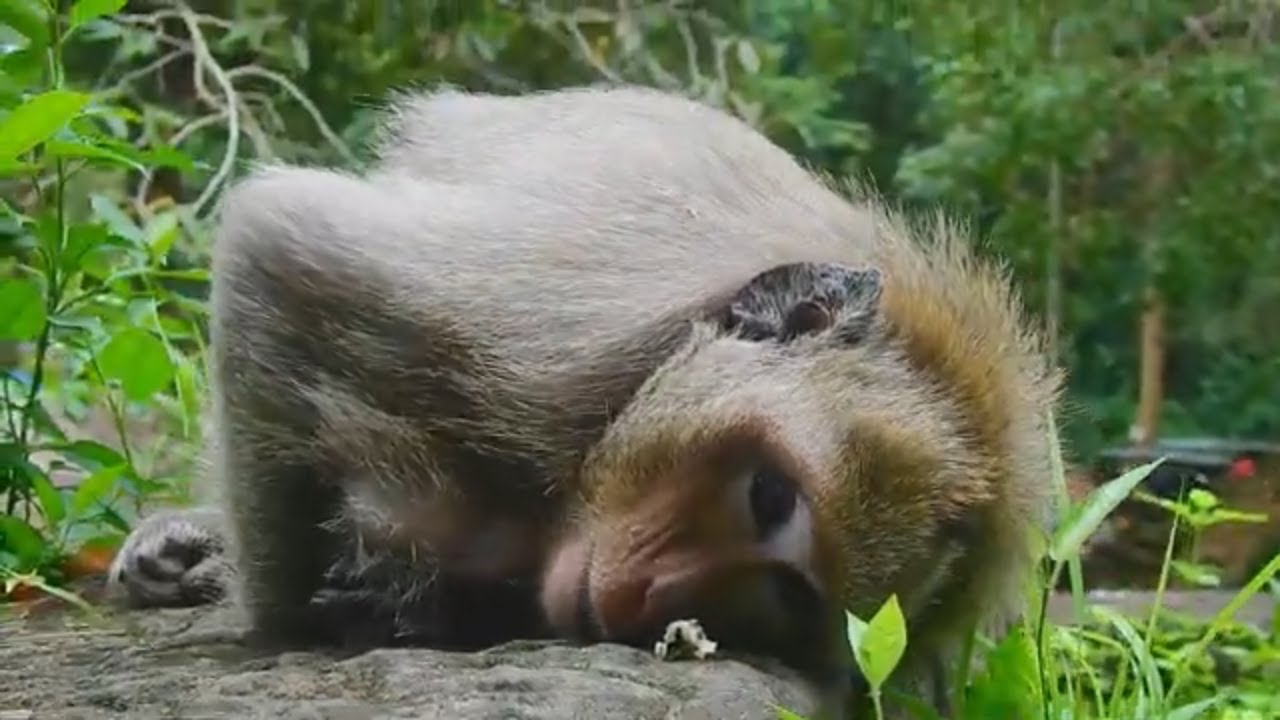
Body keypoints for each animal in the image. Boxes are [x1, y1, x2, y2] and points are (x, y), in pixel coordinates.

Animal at [106, 84, 1061, 718]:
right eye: (768, 494)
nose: (651, 597)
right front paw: (295, 620)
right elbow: (282, 242)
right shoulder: (550, 339)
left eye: (791, 595)